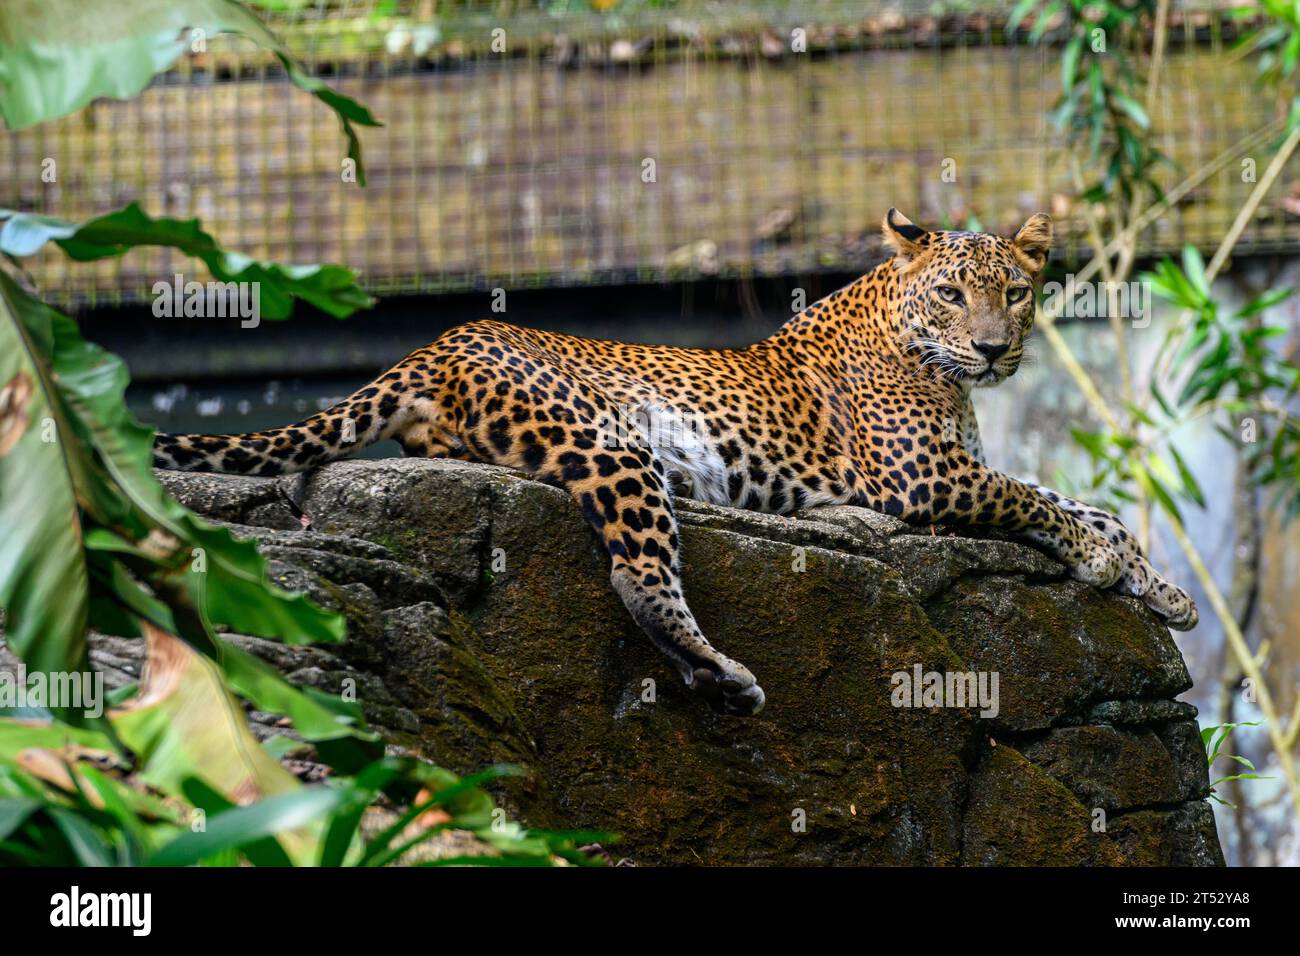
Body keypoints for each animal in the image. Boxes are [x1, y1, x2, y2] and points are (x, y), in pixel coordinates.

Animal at [153, 209, 1198, 717]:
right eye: (951, 294)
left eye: (1015, 293)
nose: (992, 349)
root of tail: (434, 345)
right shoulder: (924, 478)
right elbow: (1038, 501)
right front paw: (1107, 564)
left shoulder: (961, 463)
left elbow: (1081, 500)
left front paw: (1163, 589)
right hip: (611, 444)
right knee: (636, 574)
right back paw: (723, 675)